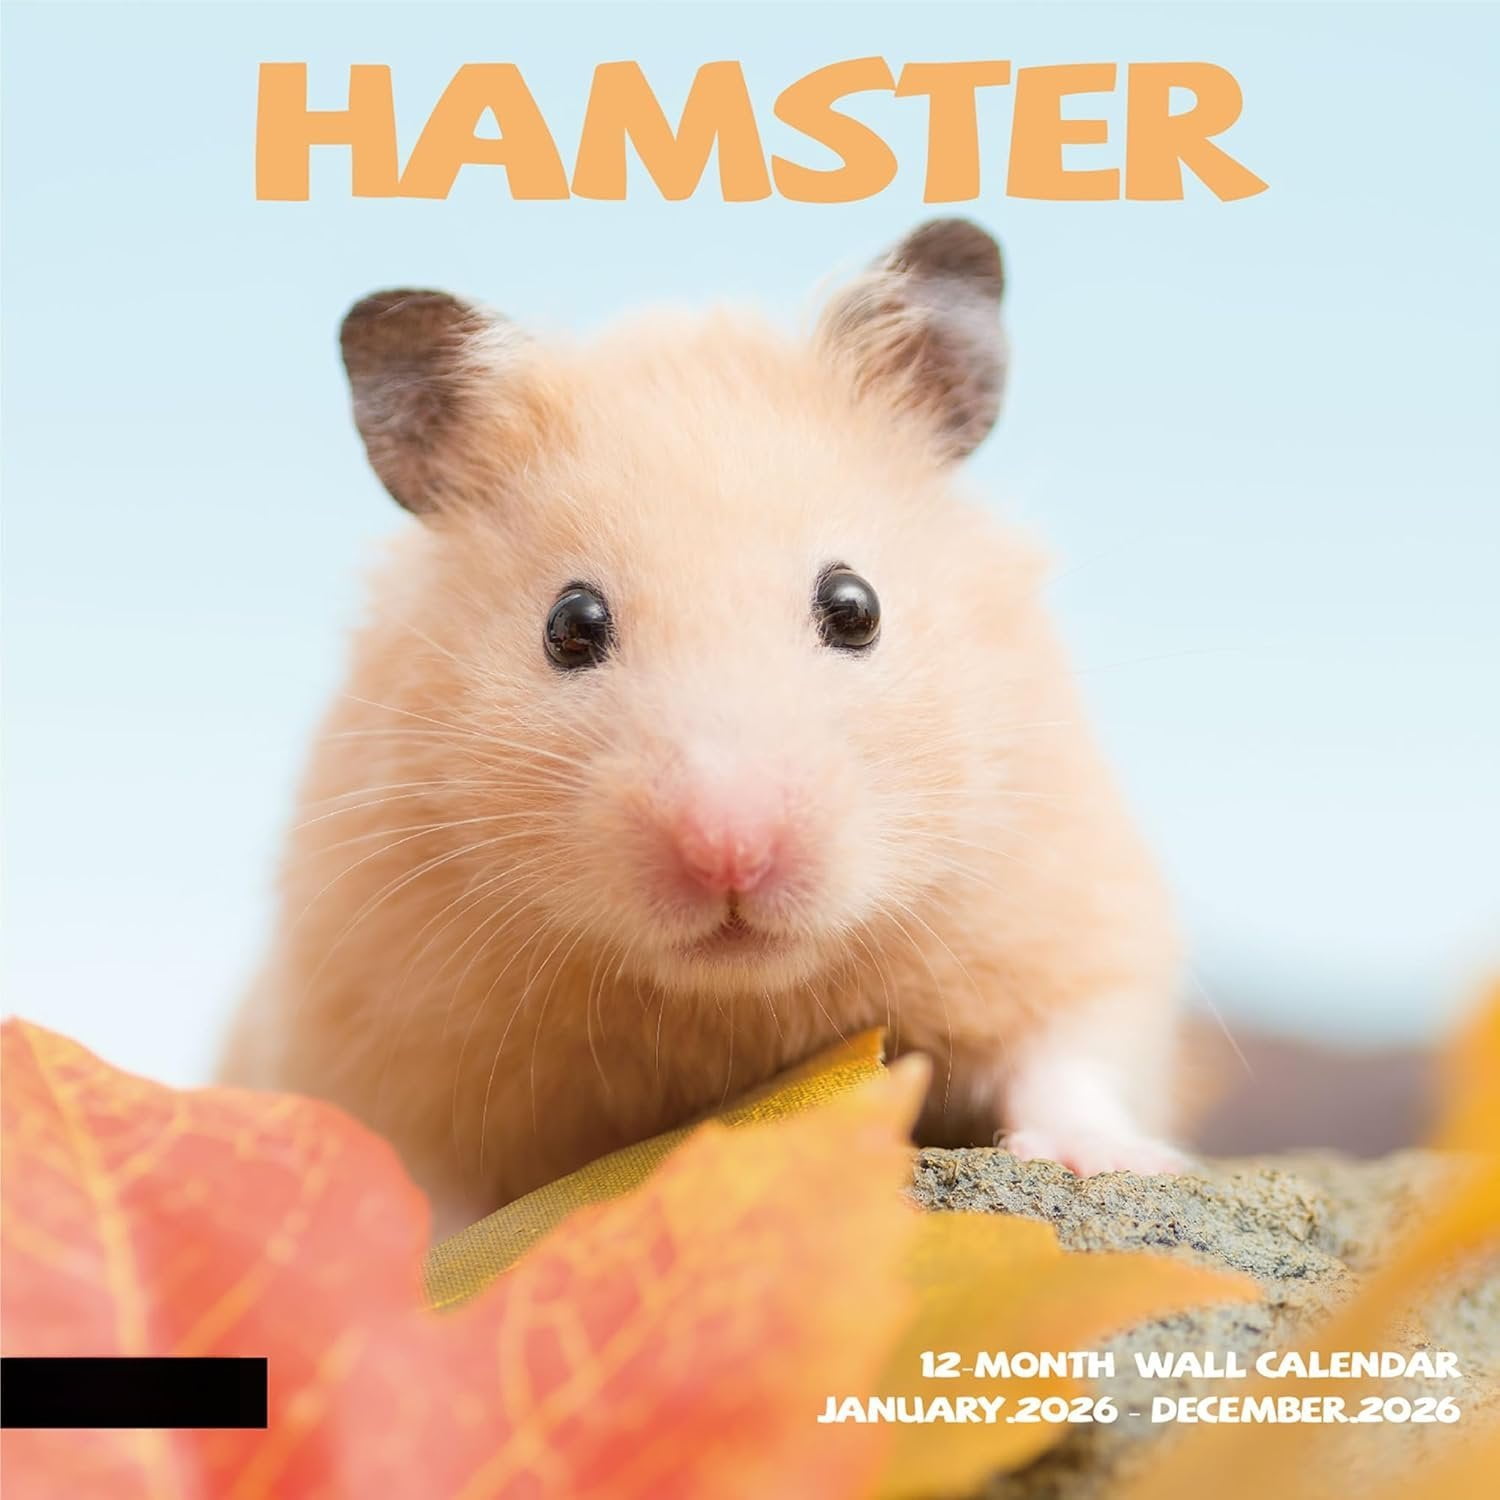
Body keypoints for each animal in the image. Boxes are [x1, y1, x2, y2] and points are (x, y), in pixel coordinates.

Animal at [221, 219, 1186, 1235]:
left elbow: (1071, 1054)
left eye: (855, 608)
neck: (729, 1004)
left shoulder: (1068, 902)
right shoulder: (363, 1012)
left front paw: (1105, 1166)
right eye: (570, 625)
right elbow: (418, 1173)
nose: (731, 854)